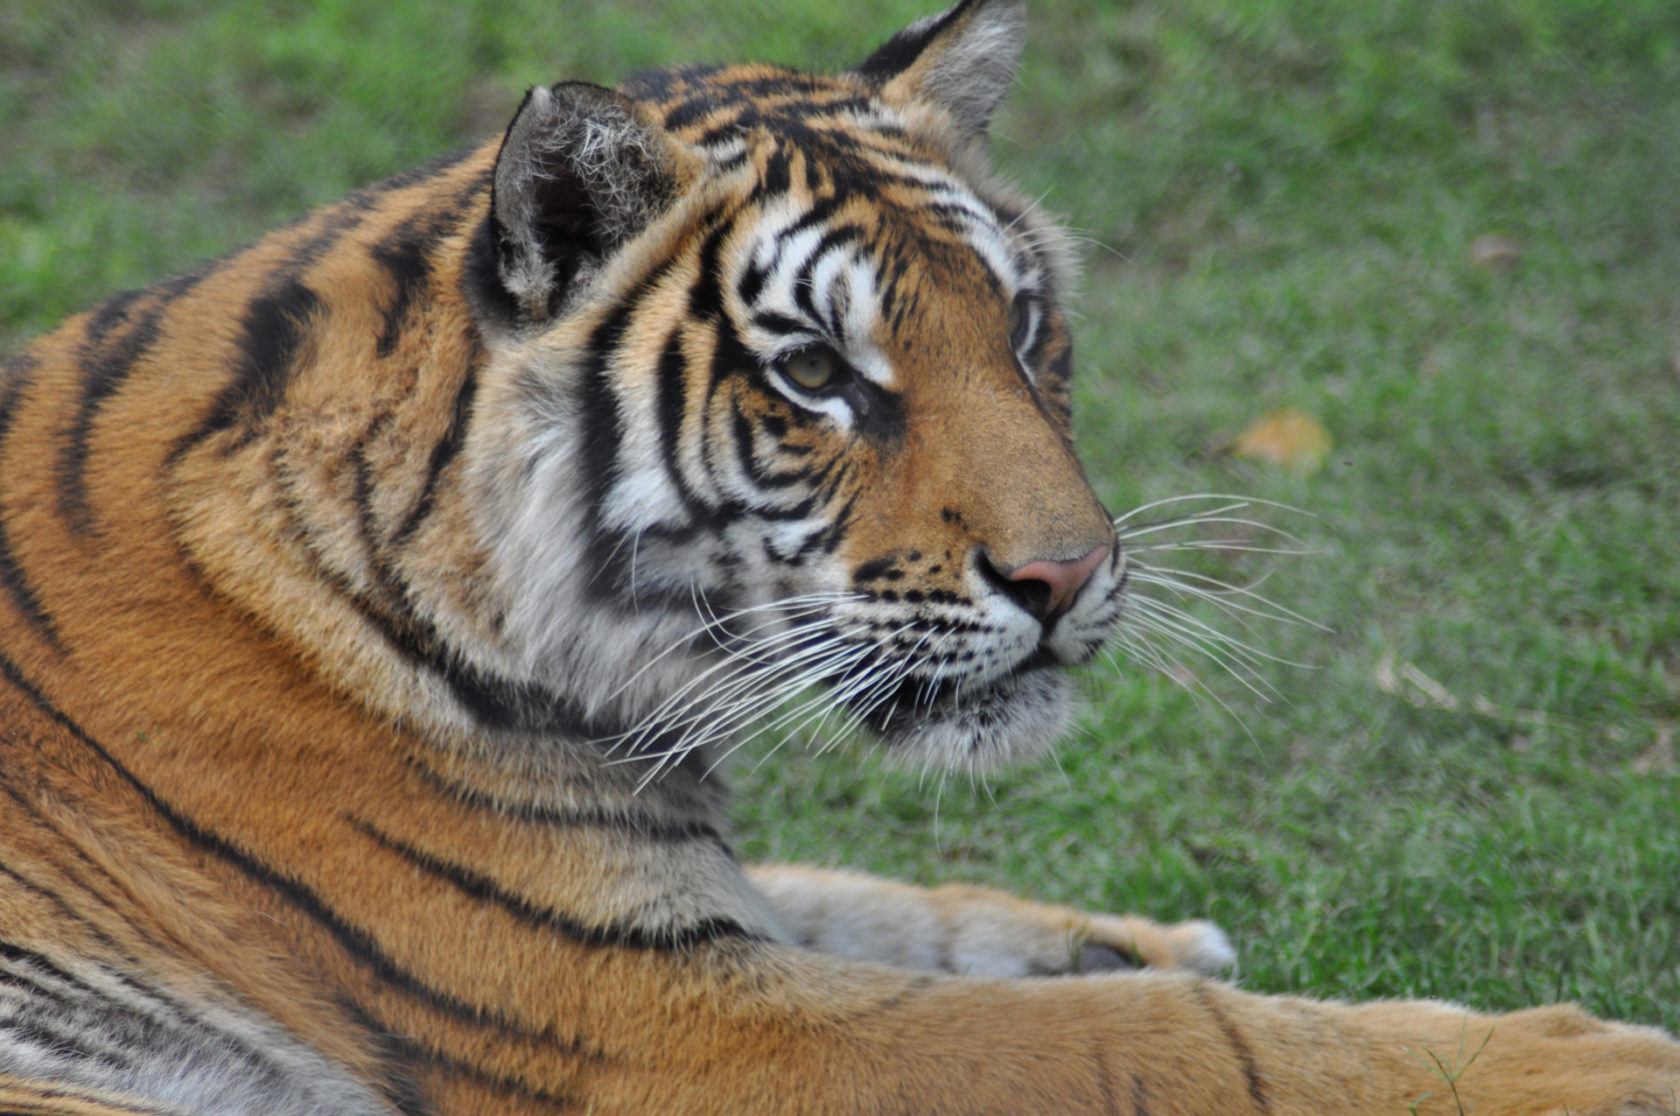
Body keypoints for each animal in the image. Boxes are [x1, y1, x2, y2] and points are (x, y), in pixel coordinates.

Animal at [1, 0, 1676, 1112]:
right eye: (815, 373)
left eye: (1020, 325)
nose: (1067, 579)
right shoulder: (674, 1019)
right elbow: (1153, 1042)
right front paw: (1589, 1059)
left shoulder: (688, 912)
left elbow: (889, 901)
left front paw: (1143, 939)